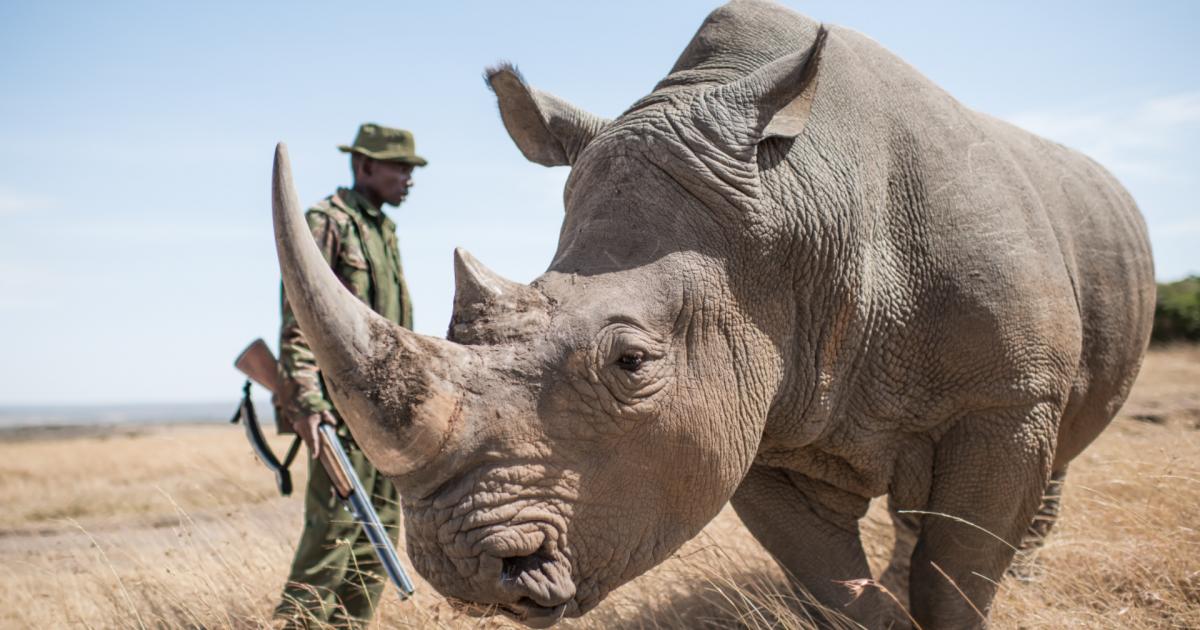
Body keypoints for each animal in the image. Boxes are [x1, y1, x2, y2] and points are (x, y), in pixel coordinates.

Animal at [270, 1, 1155, 627]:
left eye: (631, 363)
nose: (460, 570)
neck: (797, 210)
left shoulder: (1005, 399)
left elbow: (957, 577)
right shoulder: (751, 411)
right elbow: (833, 587)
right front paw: (877, 608)